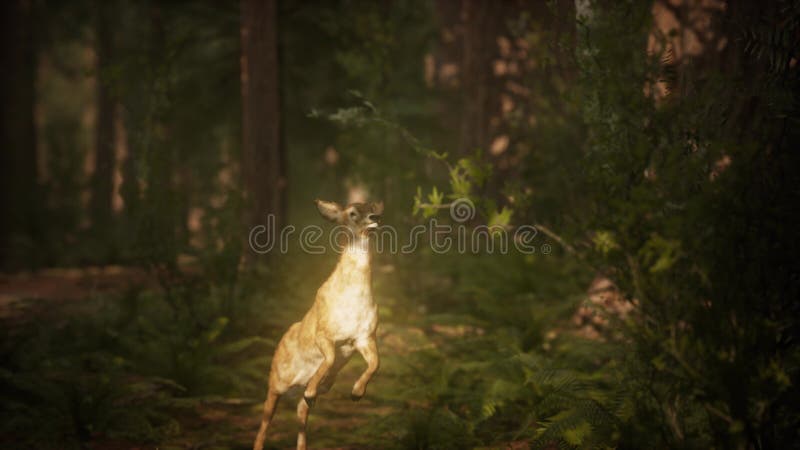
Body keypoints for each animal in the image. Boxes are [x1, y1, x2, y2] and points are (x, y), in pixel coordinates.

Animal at [253, 199, 384, 450]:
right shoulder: (324, 332)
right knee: (264, 422)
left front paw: (356, 393)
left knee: (301, 415)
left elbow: (375, 363)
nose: (375, 218)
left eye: (373, 208)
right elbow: (330, 357)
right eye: (352, 213)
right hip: (275, 382)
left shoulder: (365, 335)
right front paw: (313, 390)